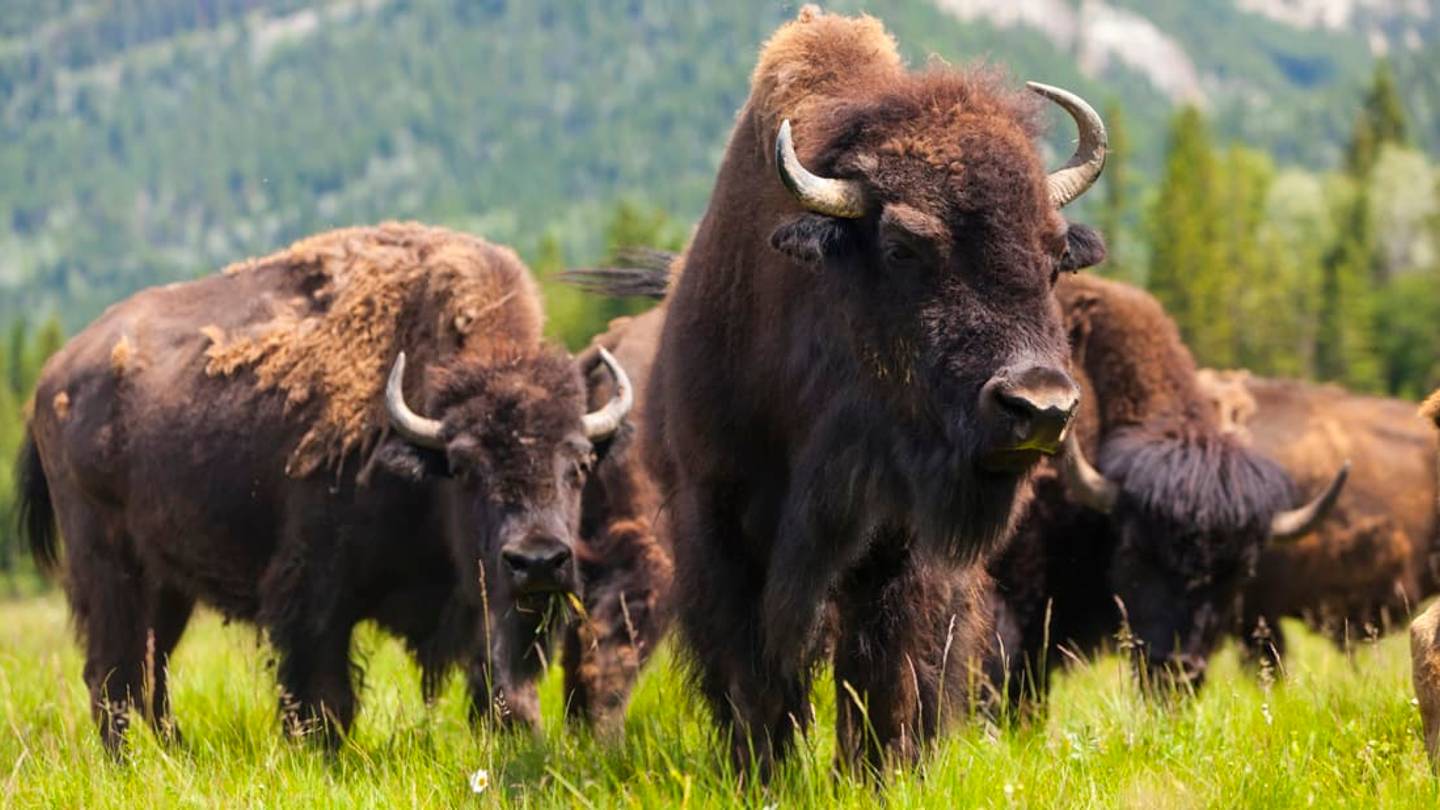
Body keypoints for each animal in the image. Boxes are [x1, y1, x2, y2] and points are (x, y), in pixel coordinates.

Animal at [16, 222, 637, 751]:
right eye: (463, 466)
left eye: (580, 462)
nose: (538, 561)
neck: (418, 452)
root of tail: (53, 376)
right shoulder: (315, 593)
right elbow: (324, 696)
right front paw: (321, 754)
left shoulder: (484, 606)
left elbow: (501, 686)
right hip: (107, 568)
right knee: (112, 676)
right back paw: (129, 762)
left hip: (168, 585)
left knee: (152, 673)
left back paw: (177, 755)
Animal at [635, 7, 1110, 774]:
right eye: (901, 247)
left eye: (1053, 255)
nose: (1039, 406)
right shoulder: (717, 515)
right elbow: (753, 668)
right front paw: (762, 771)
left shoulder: (897, 541)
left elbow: (881, 668)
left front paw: (876, 774)